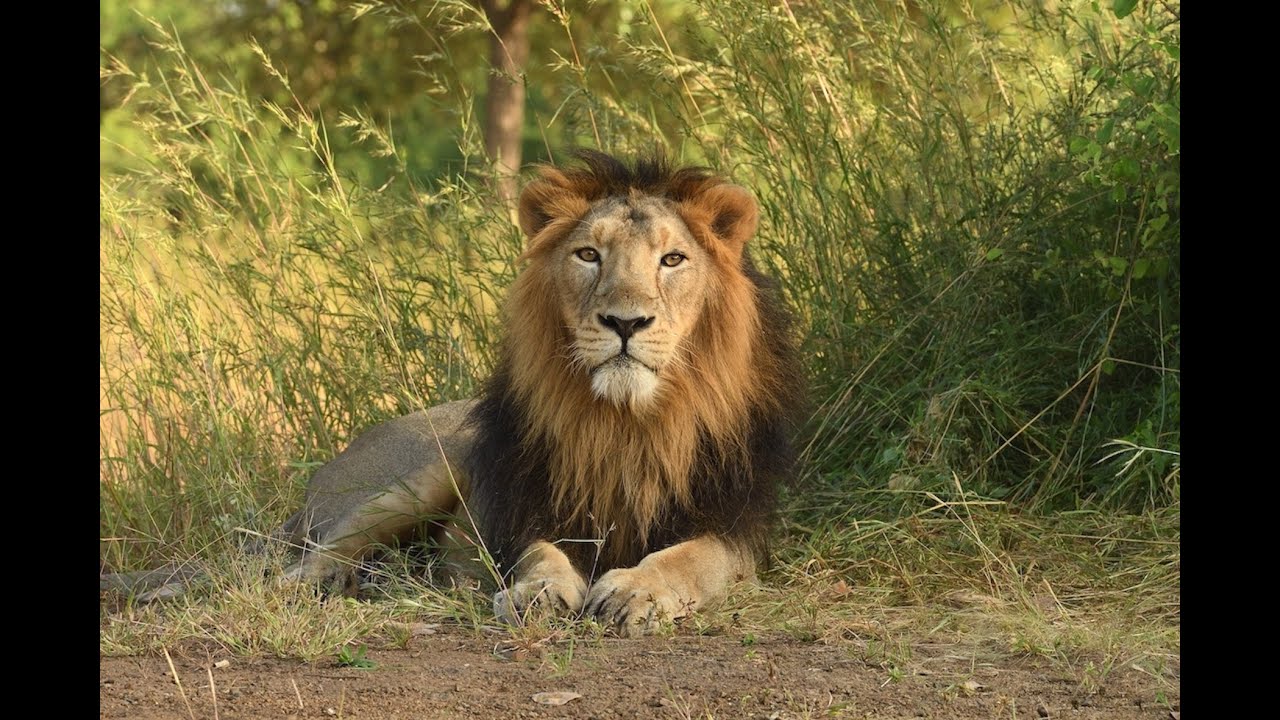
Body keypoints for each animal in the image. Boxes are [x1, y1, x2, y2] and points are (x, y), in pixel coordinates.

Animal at [197, 151, 802, 636]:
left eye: (672, 259)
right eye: (588, 255)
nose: (625, 322)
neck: (625, 420)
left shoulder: (737, 528)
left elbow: (689, 558)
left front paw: (636, 590)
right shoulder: (525, 508)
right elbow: (539, 555)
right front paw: (539, 593)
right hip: (418, 476)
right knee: (316, 554)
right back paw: (313, 585)